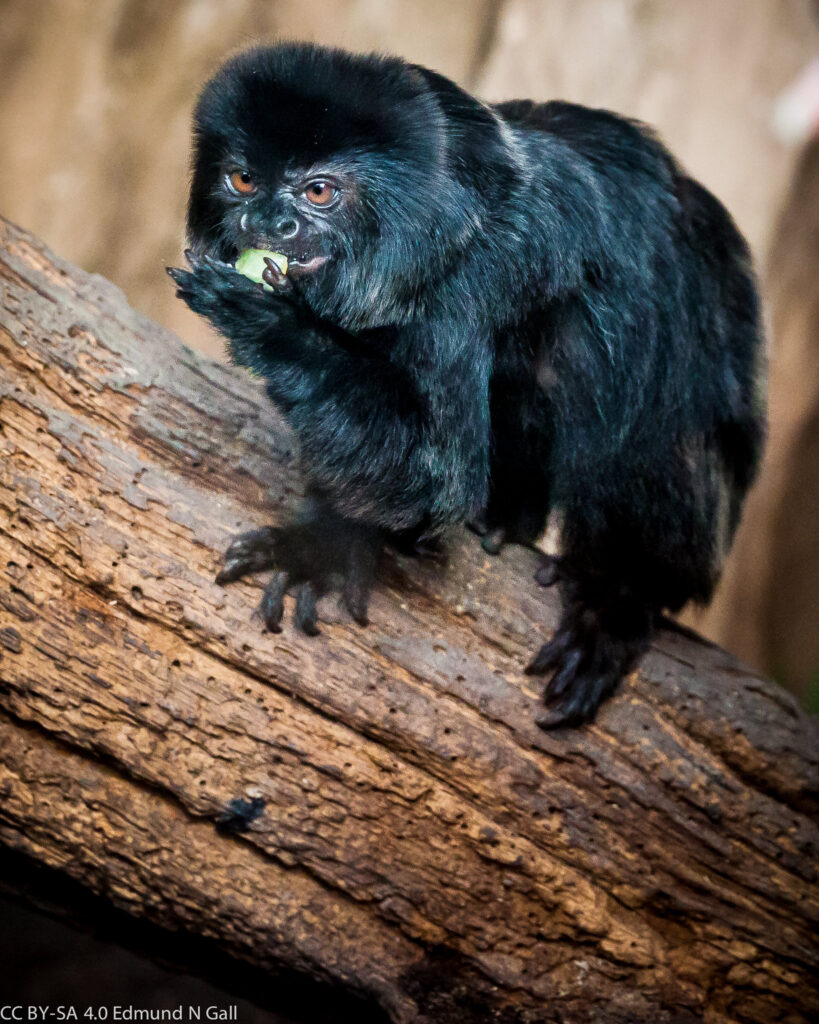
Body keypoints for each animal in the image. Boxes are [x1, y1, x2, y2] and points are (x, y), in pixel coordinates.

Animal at [168, 42, 765, 728]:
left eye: (319, 191)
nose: (267, 222)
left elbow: (436, 477)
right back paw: (508, 515)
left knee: (638, 411)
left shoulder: (467, 282)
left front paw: (272, 325)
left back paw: (619, 595)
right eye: (242, 180)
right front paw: (325, 542)